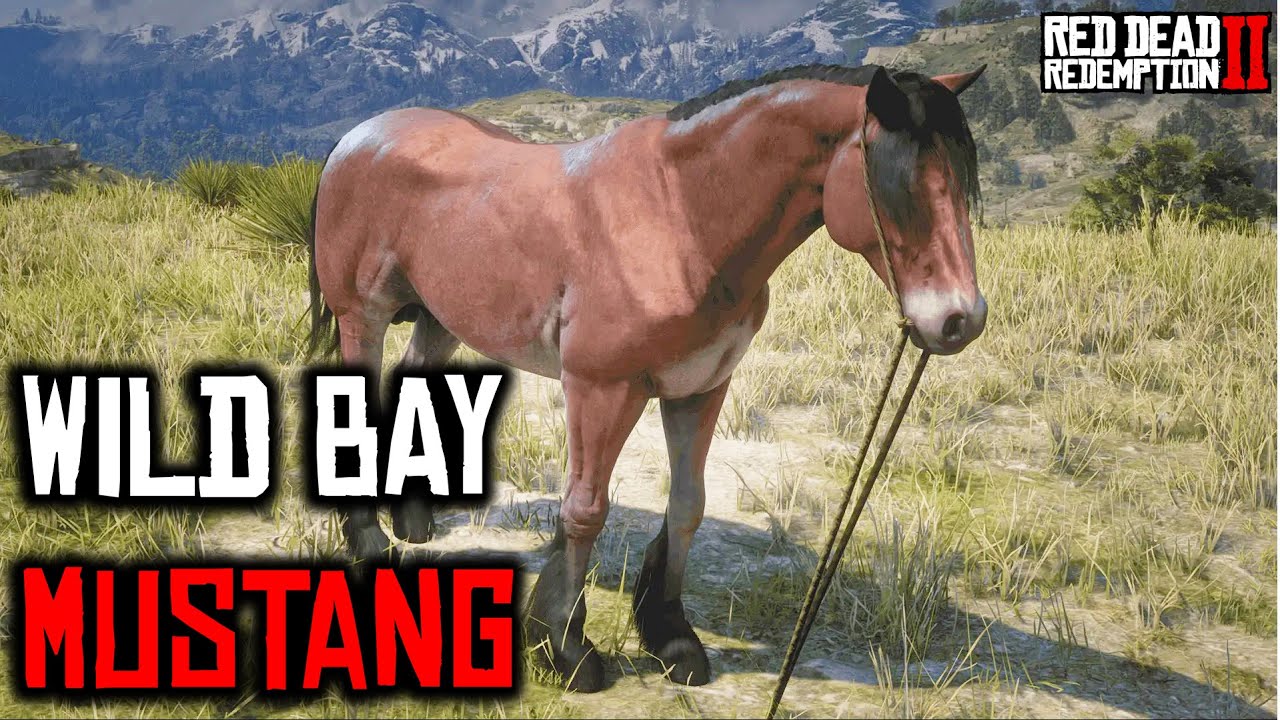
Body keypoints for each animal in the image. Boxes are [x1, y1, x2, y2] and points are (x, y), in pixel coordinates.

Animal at [307, 63, 988, 692]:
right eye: (900, 185)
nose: (960, 320)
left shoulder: (700, 388)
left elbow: (687, 505)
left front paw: (672, 637)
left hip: (441, 318)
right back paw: (368, 541)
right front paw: (565, 646)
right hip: (362, 316)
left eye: (961, 181)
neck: (679, 216)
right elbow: (585, 510)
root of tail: (356, 138)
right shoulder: (600, 389)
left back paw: (413, 525)